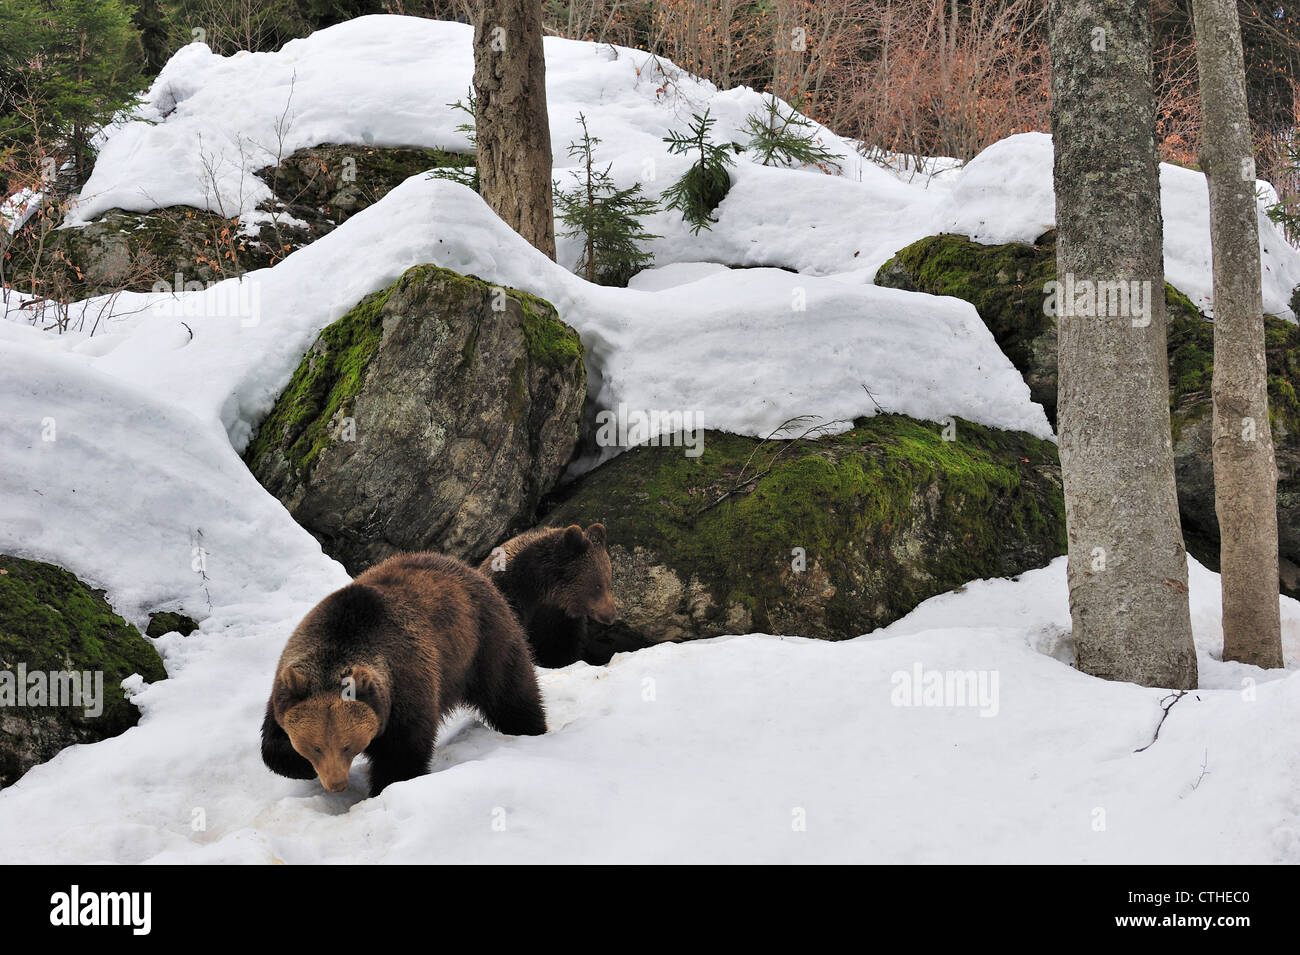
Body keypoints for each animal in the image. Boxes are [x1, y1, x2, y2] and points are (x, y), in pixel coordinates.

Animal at [260, 552, 546, 797]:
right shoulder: (286, 687)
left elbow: (402, 753)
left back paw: (530, 730)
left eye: (347, 744)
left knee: (509, 691)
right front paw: (300, 765)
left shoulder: (406, 686)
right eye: (315, 746)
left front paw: (385, 787)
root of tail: (464, 566)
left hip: (482, 642)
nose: (336, 784)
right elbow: (274, 744)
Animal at [478, 523, 617, 668]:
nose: (612, 615)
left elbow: (561, 648)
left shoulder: (560, 620)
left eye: (608, 581)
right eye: (598, 585)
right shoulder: (509, 594)